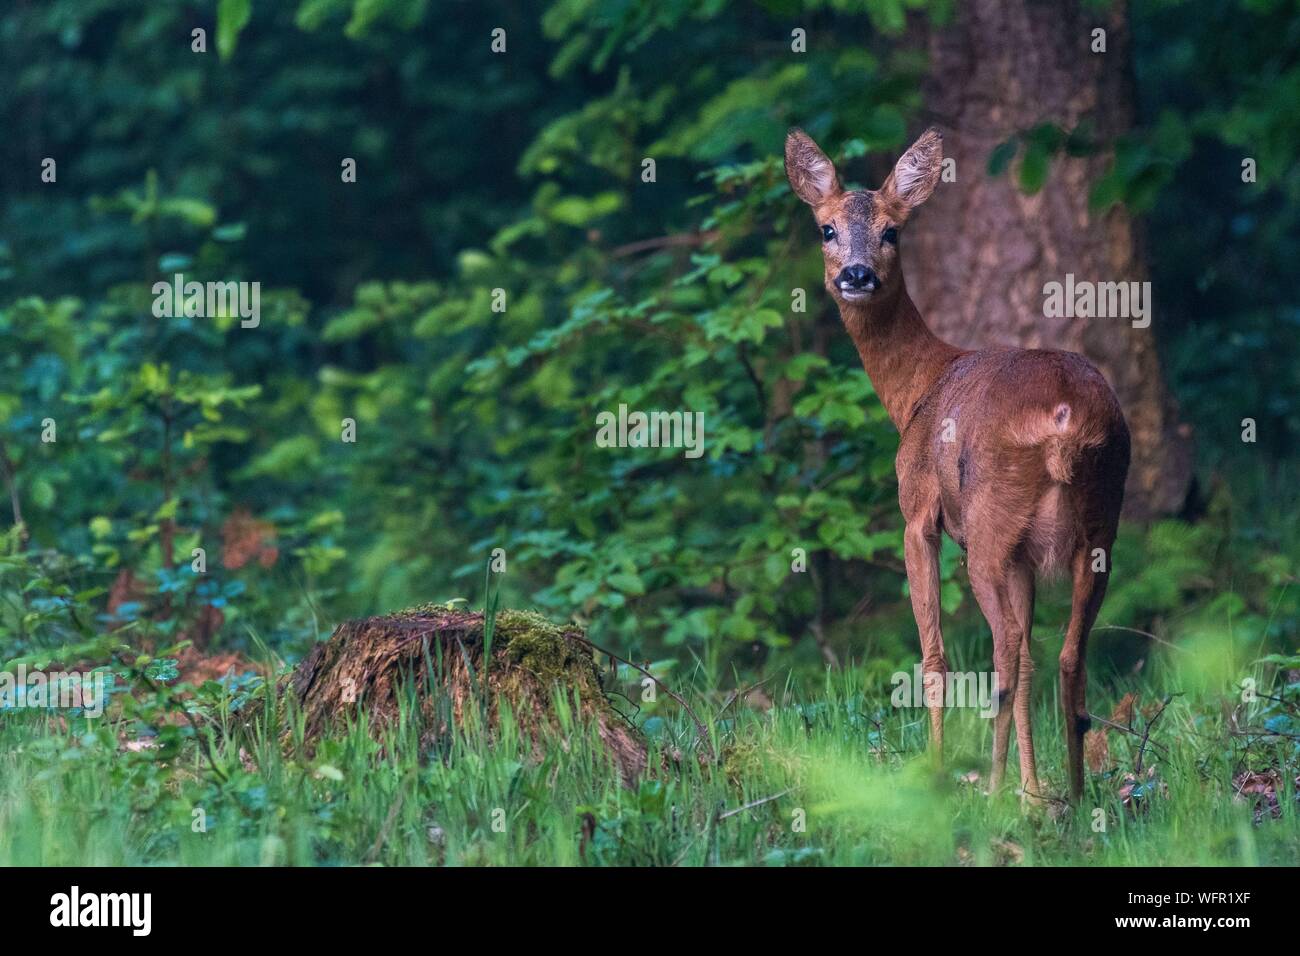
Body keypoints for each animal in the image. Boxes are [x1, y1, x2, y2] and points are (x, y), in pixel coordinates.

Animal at [785, 126, 1131, 802]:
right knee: (1063, 652)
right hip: (1100, 522)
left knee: (1004, 649)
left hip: (990, 519)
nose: (857, 275)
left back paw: (993, 792)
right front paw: (1033, 790)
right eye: (827, 228)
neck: (918, 390)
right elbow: (1029, 655)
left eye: (892, 230)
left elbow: (934, 655)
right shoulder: (1027, 554)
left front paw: (939, 772)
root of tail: (1065, 420)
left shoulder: (918, 510)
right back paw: (1071, 797)